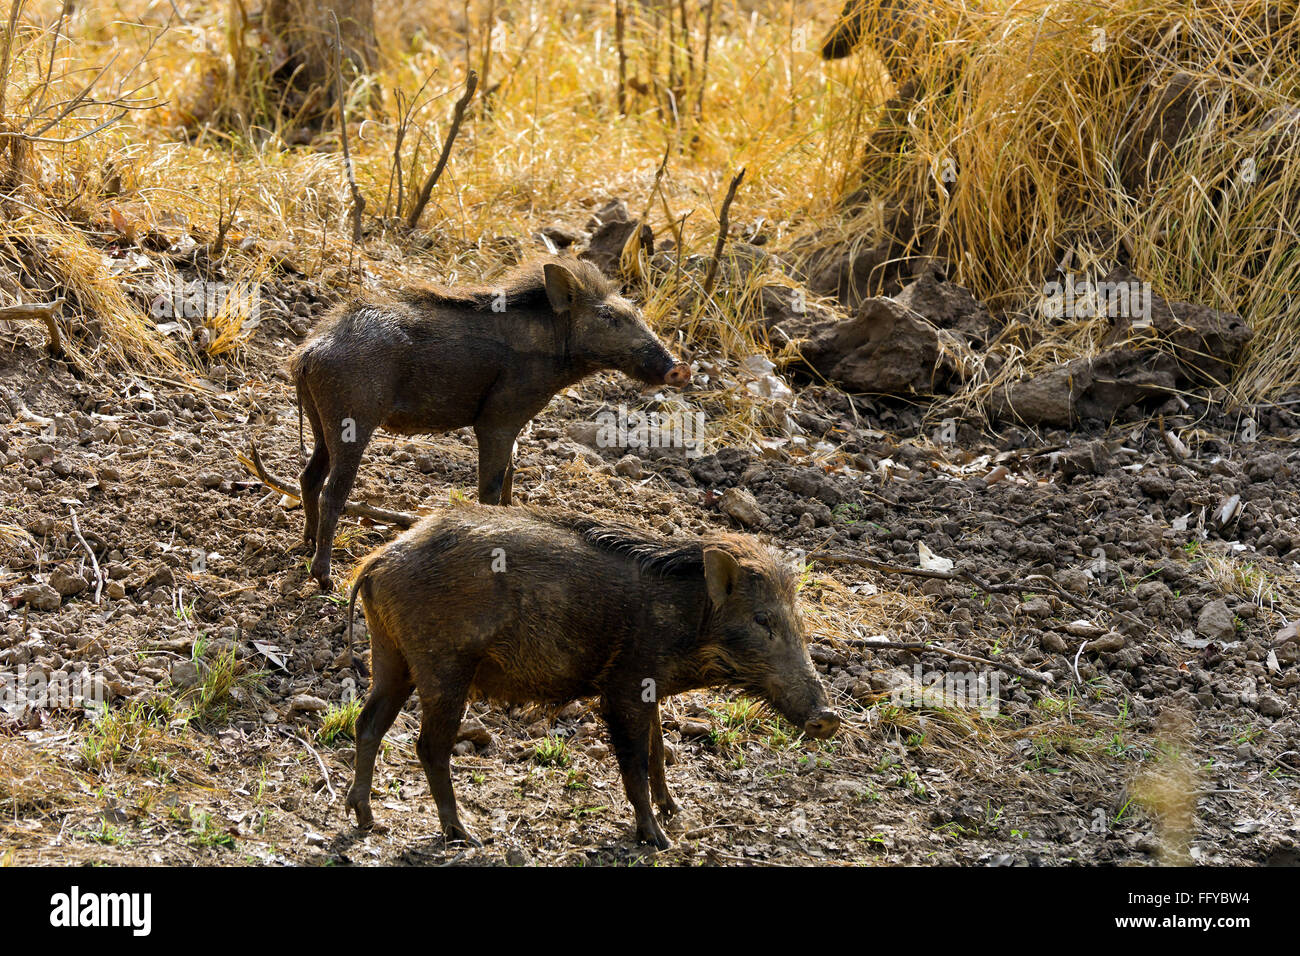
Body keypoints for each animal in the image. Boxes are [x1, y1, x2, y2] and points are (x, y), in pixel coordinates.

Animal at [288, 256, 691, 590]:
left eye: (635, 311)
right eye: (608, 317)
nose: (680, 368)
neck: (556, 347)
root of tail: (308, 352)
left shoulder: (513, 424)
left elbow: (511, 473)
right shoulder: (497, 420)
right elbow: (491, 488)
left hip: (322, 424)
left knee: (308, 477)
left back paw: (305, 543)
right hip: (352, 423)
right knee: (332, 492)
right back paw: (324, 578)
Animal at [342, 505, 839, 850]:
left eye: (798, 622)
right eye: (762, 620)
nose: (829, 716)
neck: (689, 619)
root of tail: (377, 562)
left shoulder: (650, 689)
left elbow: (658, 754)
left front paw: (675, 810)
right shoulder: (625, 689)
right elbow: (635, 764)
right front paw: (659, 840)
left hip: (391, 657)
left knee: (368, 724)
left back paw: (366, 819)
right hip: (443, 667)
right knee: (428, 746)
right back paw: (463, 834)